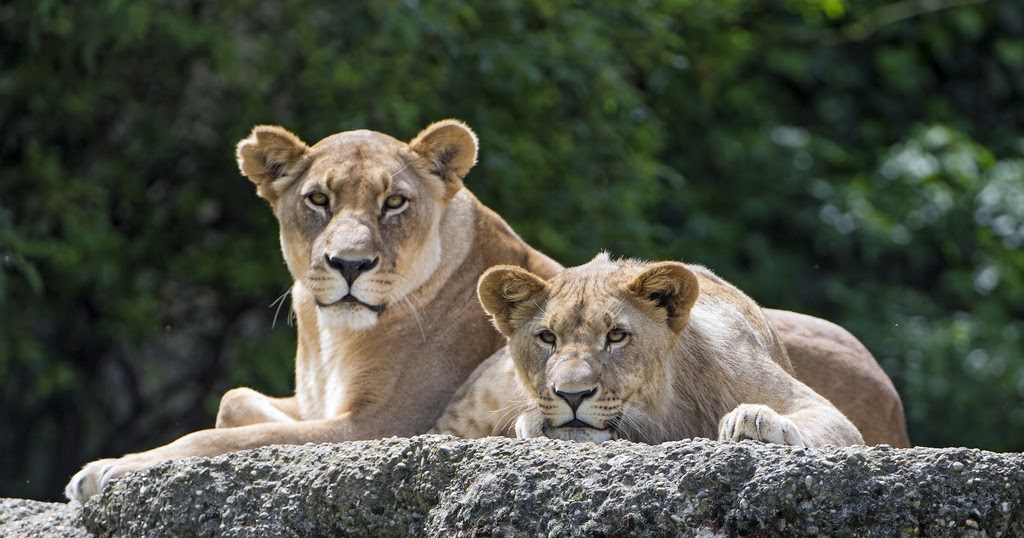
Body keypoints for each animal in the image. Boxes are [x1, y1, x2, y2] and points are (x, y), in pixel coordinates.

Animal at [438, 254, 864, 447]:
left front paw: (755, 422)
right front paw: (535, 422)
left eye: (616, 335)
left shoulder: (826, 413)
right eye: (547, 338)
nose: (572, 395)